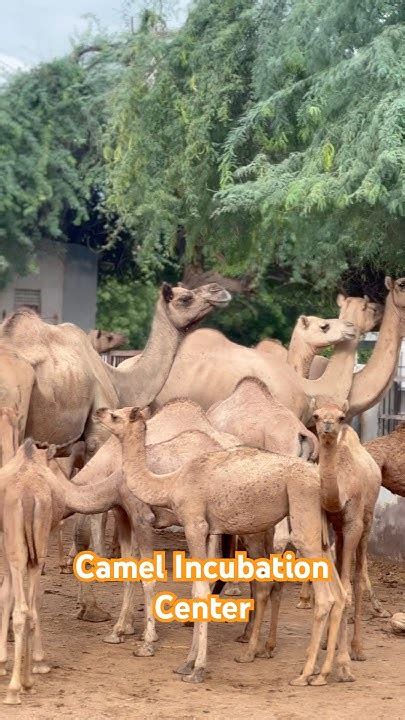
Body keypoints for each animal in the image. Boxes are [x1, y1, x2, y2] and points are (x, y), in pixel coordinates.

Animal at [96, 406, 346, 686]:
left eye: (115, 416)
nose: (99, 412)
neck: (171, 483)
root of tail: (317, 478)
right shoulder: (207, 530)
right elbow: (199, 586)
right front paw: (187, 662)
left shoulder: (194, 524)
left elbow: (200, 591)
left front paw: (197, 668)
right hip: (318, 529)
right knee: (338, 593)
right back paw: (323, 672)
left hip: (303, 515)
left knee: (324, 596)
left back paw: (304, 674)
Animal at [313, 402, 381, 675]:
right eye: (316, 416)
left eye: (342, 417)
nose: (328, 425)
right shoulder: (330, 526)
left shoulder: (354, 525)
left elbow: (346, 584)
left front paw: (342, 662)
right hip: (341, 534)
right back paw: (326, 643)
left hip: (368, 521)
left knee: (358, 574)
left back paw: (358, 649)